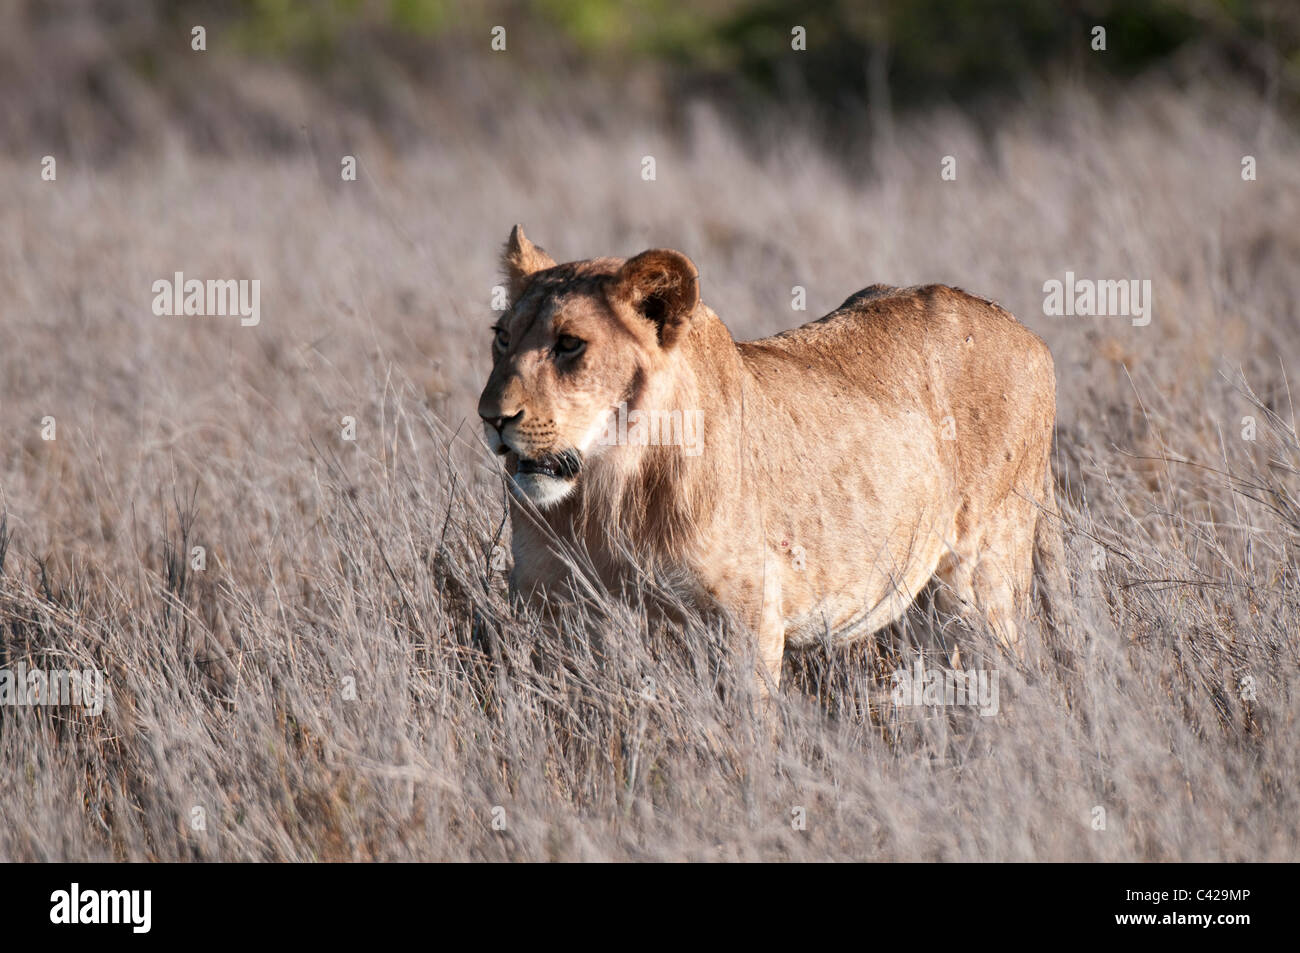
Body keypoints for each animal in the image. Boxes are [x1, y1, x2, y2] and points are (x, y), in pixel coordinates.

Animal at [478, 225, 1068, 693]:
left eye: (569, 344)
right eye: (501, 338)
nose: (491, 416)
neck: (605, 497)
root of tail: (1028, 333)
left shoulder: (749, 618)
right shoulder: (547, 612)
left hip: (981, 579)